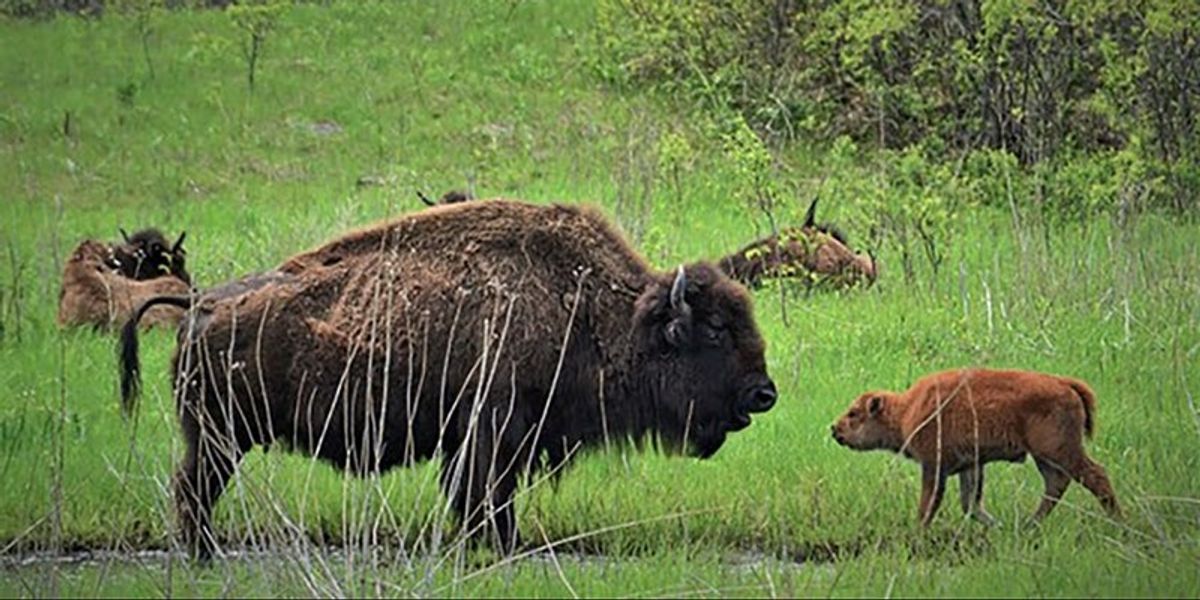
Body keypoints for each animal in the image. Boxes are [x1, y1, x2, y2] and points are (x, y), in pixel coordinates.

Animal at [119, 199, 779, 559]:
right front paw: (500, 547)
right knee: (192, 492)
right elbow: (485, 499)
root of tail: (198, 305)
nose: (764, 393)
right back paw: (205, 559)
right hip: (219, 438)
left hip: (222, 438)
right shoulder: (490, 435)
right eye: (714, 330)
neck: (588, 308)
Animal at [831, 368, 1121, 527]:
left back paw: (1119, 522)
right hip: (1045, 457)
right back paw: (1029, 525)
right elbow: (971, 503)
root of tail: (1065, 384)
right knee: (1055, 485)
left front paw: (917, 532)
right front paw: (996, 525)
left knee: (1095, 476)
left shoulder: (934, 466)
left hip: (1059, 451)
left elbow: (929, 505)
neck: (907, 409)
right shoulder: (971, 465)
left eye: (854, 413)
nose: (835, 429)